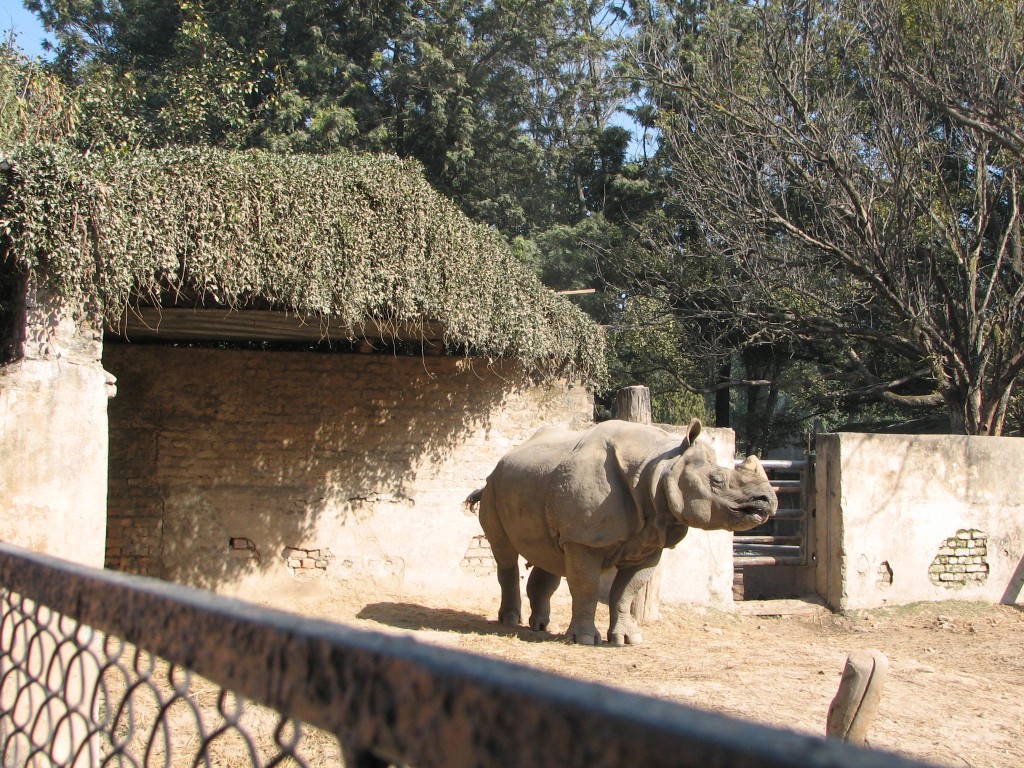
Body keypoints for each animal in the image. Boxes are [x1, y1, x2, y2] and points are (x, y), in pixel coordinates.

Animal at [466, 418, 777, 646]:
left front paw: (628, 639)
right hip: (494, 487)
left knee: (549, 555)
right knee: (505, 554)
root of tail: (502, 460)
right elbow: (587, 587)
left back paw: (542, 626)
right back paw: (509, 622)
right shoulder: (584, 539)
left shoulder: (649, 541)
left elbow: (626, 592)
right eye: (718, 480)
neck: (658, 468)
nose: (768, 500)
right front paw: (585, 640)